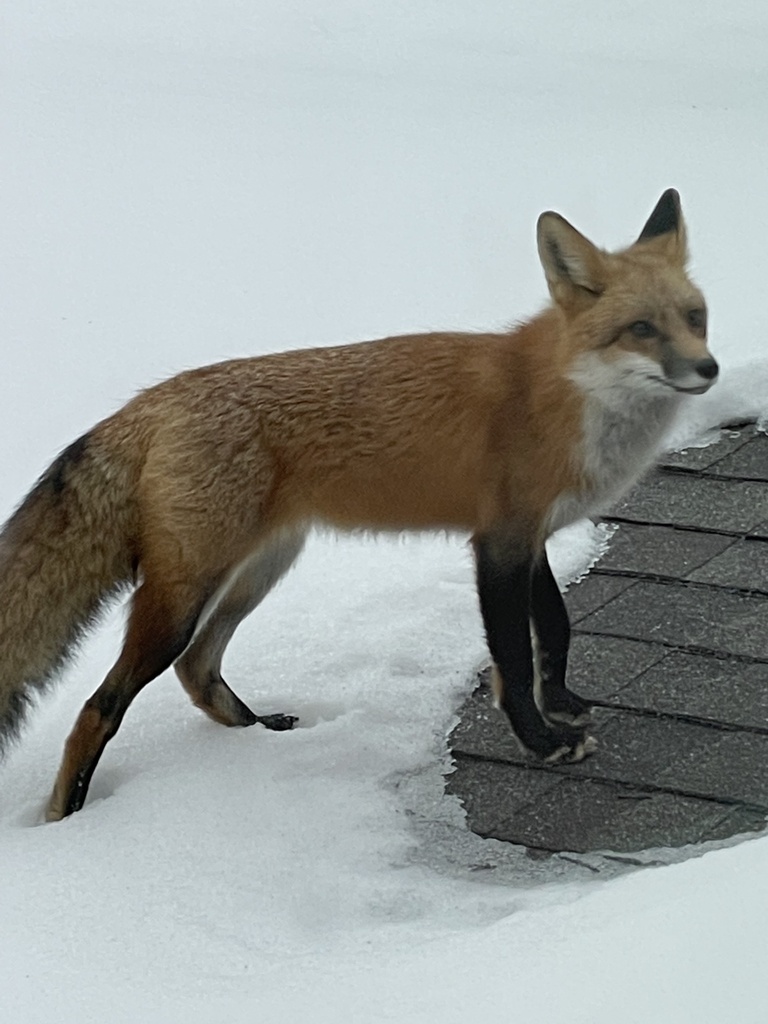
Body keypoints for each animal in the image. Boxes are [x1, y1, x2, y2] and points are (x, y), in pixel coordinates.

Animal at [0, 189, 716, 822]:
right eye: (641, 329)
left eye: (696, 318)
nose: (708, 370)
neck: (566, 395)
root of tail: (148, 400)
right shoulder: (500, 541)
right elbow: (513, 657)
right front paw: (542, 742)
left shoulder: (528, 533)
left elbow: (557, 627)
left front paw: (562, 702)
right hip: (185, 592)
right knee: (100, 707)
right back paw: (66, 816)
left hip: (261, 568)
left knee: (196, 667)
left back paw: (259, 731)